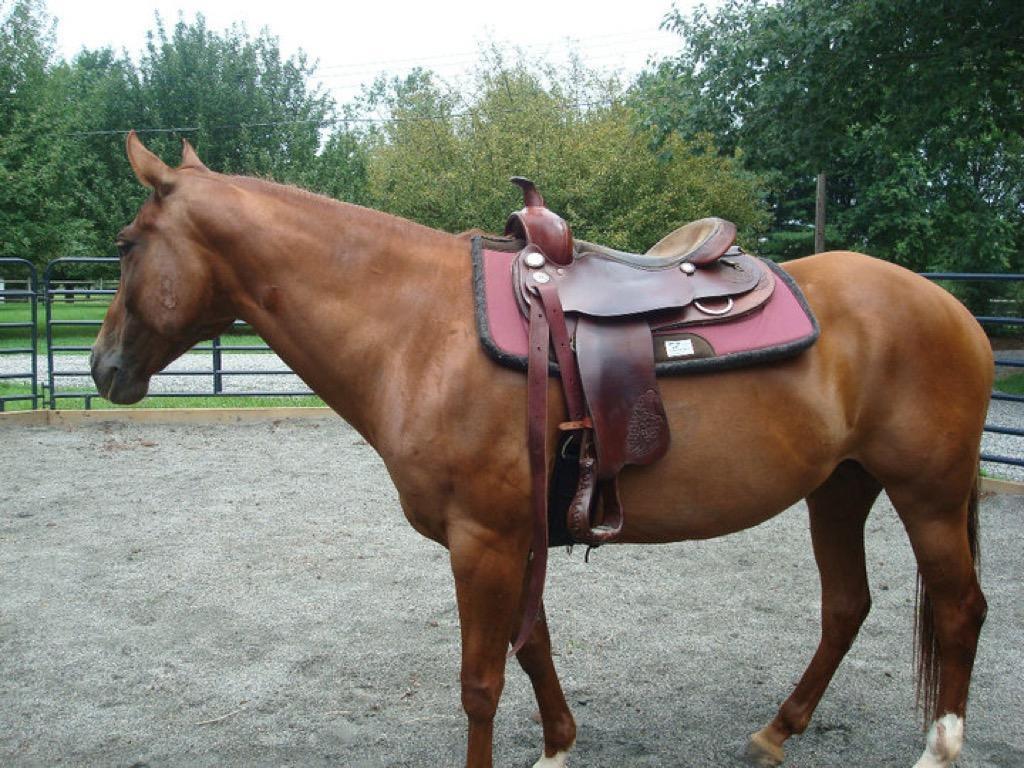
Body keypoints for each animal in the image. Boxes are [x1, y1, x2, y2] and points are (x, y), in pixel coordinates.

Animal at [91, 132, 992, 768]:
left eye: (128, 244)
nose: (102, 369)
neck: (421, 328)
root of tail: (952, 308)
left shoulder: (482, 541)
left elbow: (481, 683)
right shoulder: (518, 534)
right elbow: (533, 648)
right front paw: (559, 743)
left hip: (929, 493)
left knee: (960, 608)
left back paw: (938, 748)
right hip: (840, 486)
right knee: (847, 606)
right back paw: (777, 731)